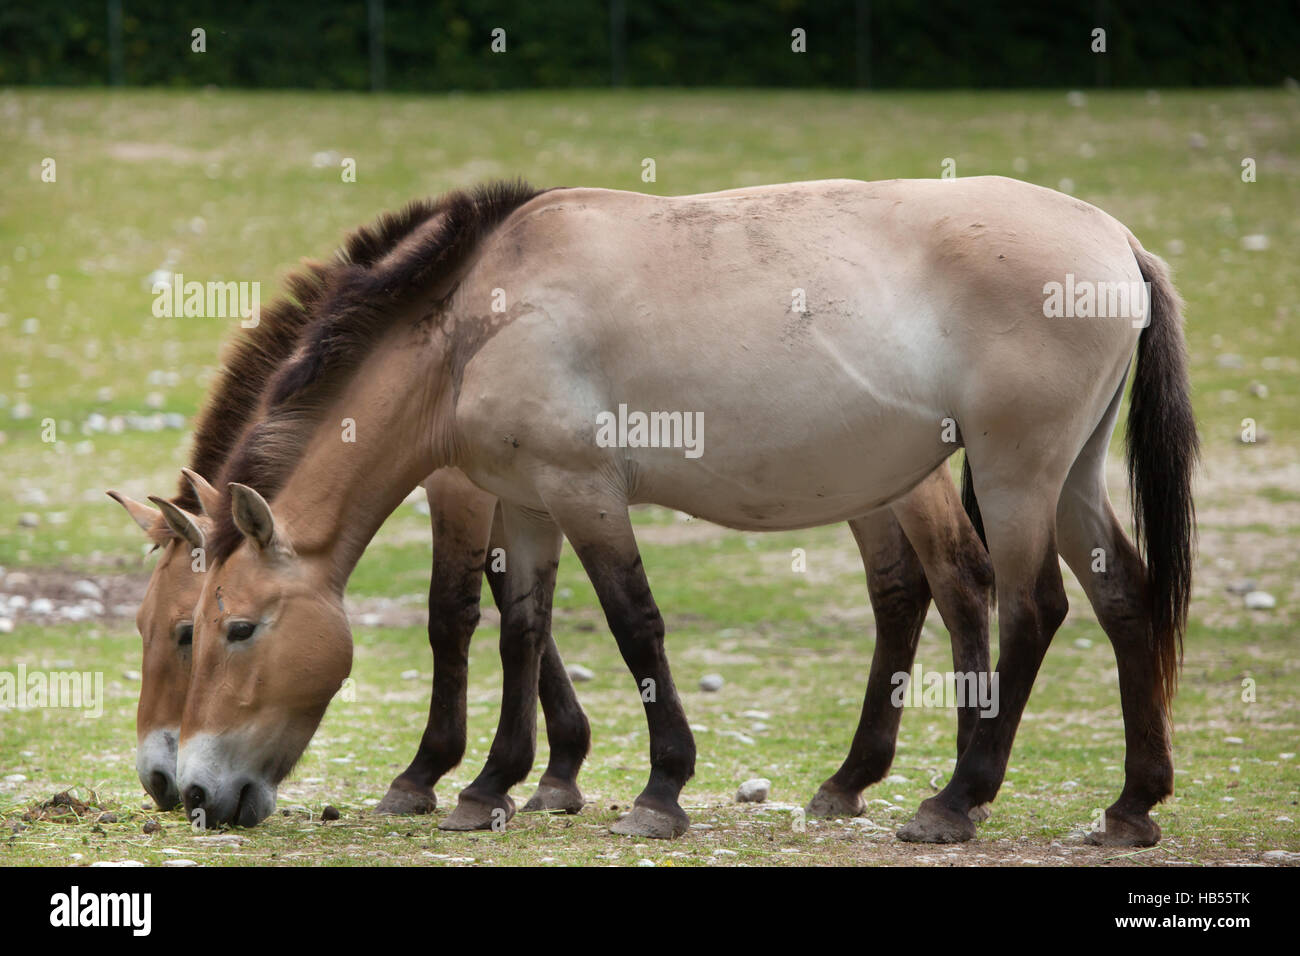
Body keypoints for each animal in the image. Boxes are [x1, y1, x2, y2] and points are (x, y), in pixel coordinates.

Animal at [177, 176, 1197, 844]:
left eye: (231, 629)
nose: (190, 791)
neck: (479, 323)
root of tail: (1117, 241)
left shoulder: (584, 493)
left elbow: (634, 626)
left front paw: (659, 791)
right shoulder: (526, 504)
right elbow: (521, 632)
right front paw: (491, 785)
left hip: (1018, 475)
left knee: (1033, 611)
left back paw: (954, 802)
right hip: (1069, 479)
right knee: (1123, 599)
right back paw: (1130, 806)